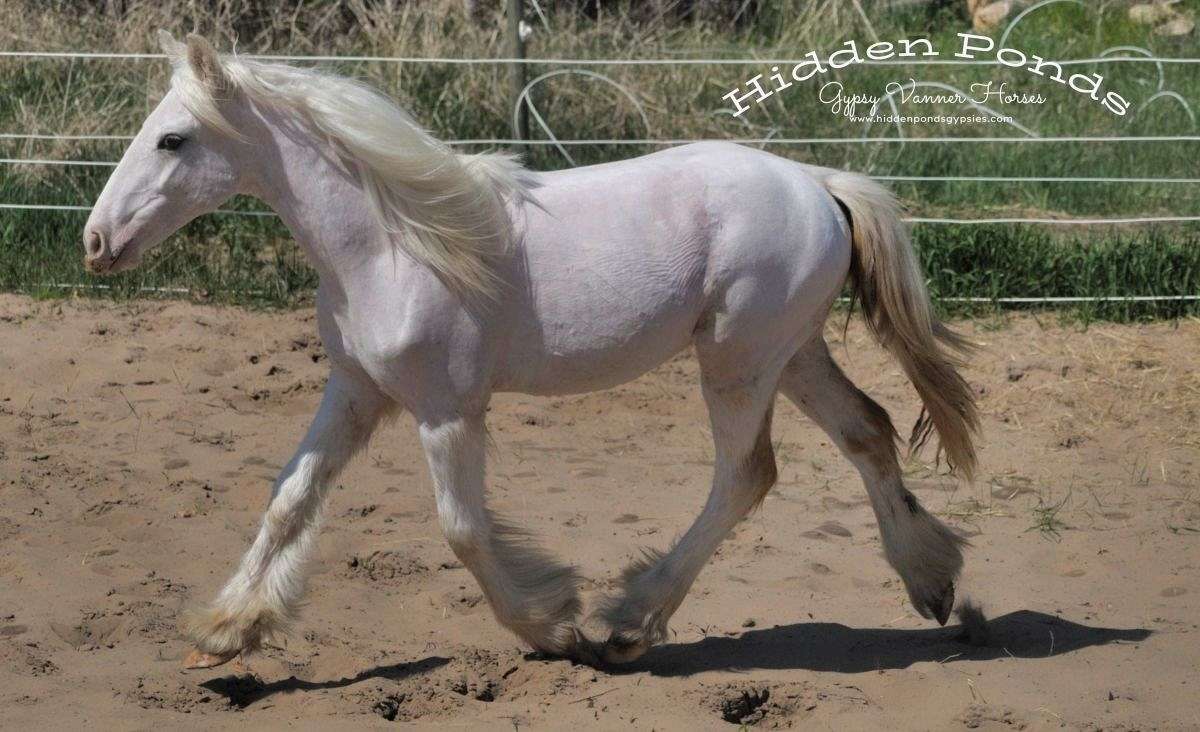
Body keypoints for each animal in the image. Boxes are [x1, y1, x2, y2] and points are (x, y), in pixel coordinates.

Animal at [83, 33, 980, 669]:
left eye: (172, 139)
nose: (95, 242)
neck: (390, 245)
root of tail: (819, 185)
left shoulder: (446, 411)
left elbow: (463, 530)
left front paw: (553, 626)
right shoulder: (356, 391)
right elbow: (288, 499)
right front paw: (227, 629)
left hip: (739, 362)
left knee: (747, 474)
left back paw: (628, 623)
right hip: (791, 354)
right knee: (867, 432)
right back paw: (933, 584)